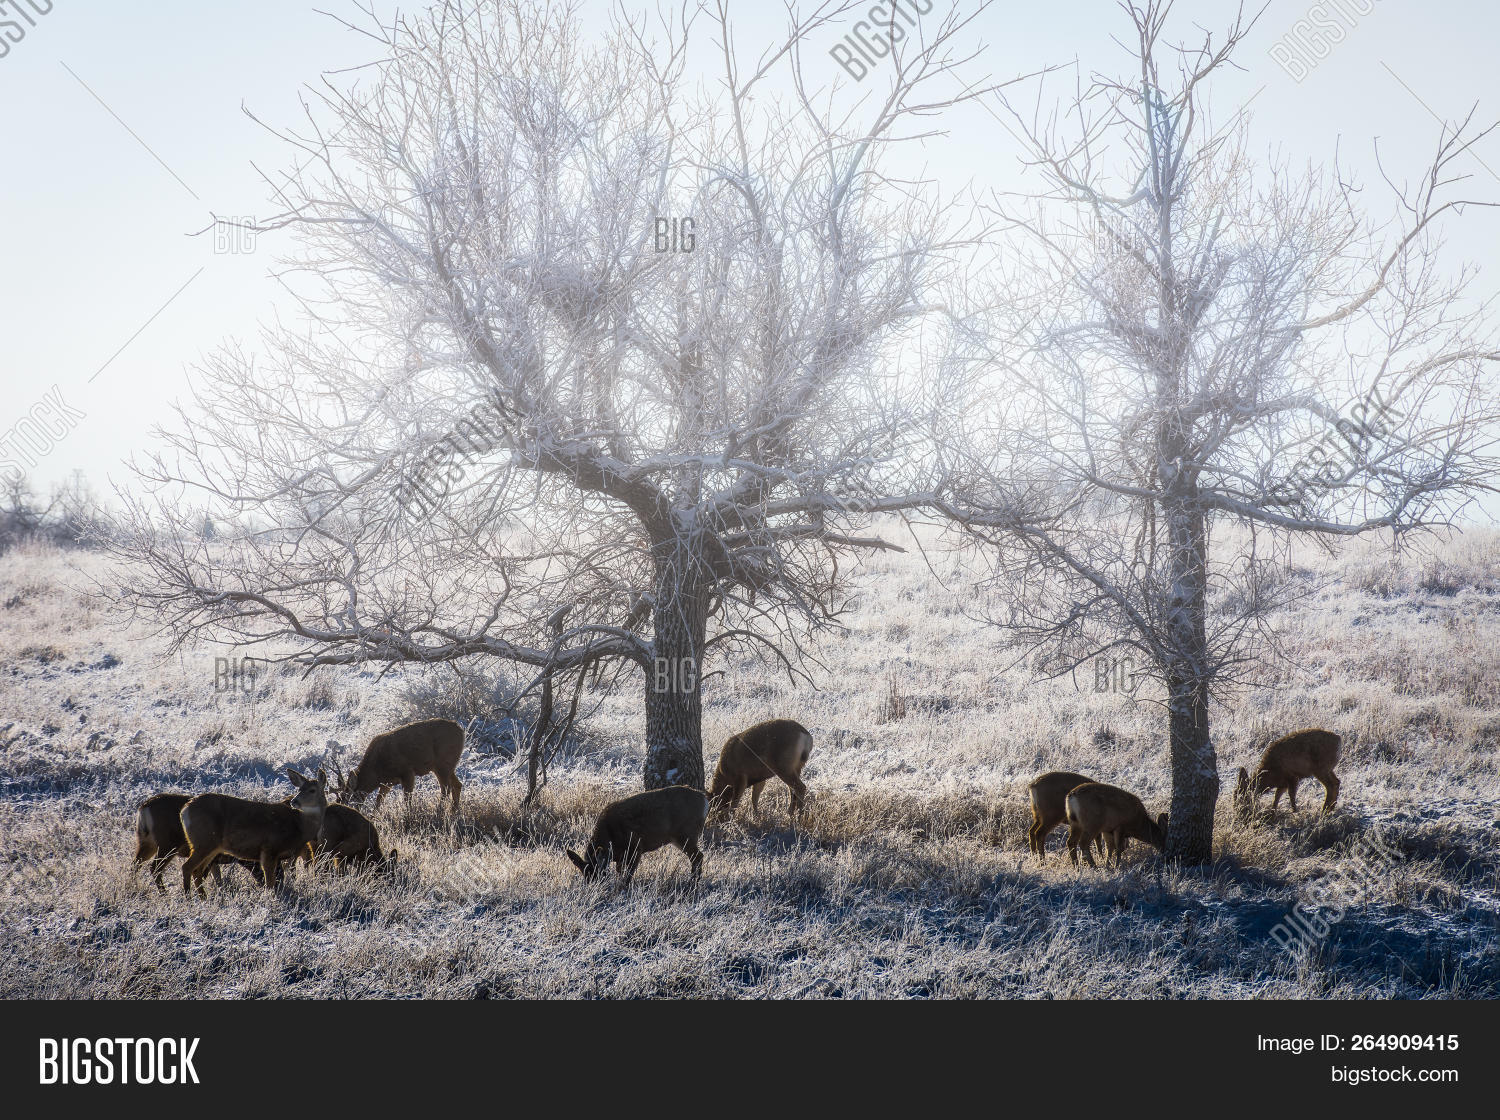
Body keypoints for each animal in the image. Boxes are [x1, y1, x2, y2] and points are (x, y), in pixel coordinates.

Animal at [178, 769, 328, 896]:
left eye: (312, 790)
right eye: (299, 789)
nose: (294, 801)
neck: (299, 826)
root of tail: (185, 810)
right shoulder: (269, 848)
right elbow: (270, 883)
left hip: (210, 846)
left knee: (197, 870)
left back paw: (203, 898)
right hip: (204, 841)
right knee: (187, 867)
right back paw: (189, 898)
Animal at [335, 718, 464, 812]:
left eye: (346, 799)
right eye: (338, 800)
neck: (377, 769)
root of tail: (460, 730)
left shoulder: (407, 771)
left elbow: (407, 799)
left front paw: (409, 815)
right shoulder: (387, 782)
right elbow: (378, 801)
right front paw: (374, 816)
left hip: (442, 763)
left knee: (446, 789)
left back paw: (439, 811)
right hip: (447, 765)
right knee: (457, 785)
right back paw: (454, 811)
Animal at [566, 786, 708, 887]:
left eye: (598, 874)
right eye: (585, 875)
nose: (592, 887)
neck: (609, 836)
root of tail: (704, 799)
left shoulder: (635, 847)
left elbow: (628, 875)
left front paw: (623, 889)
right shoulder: (621, 856)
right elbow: (620, 872)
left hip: (685, 834)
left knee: (698, 856)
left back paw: (692, 884)